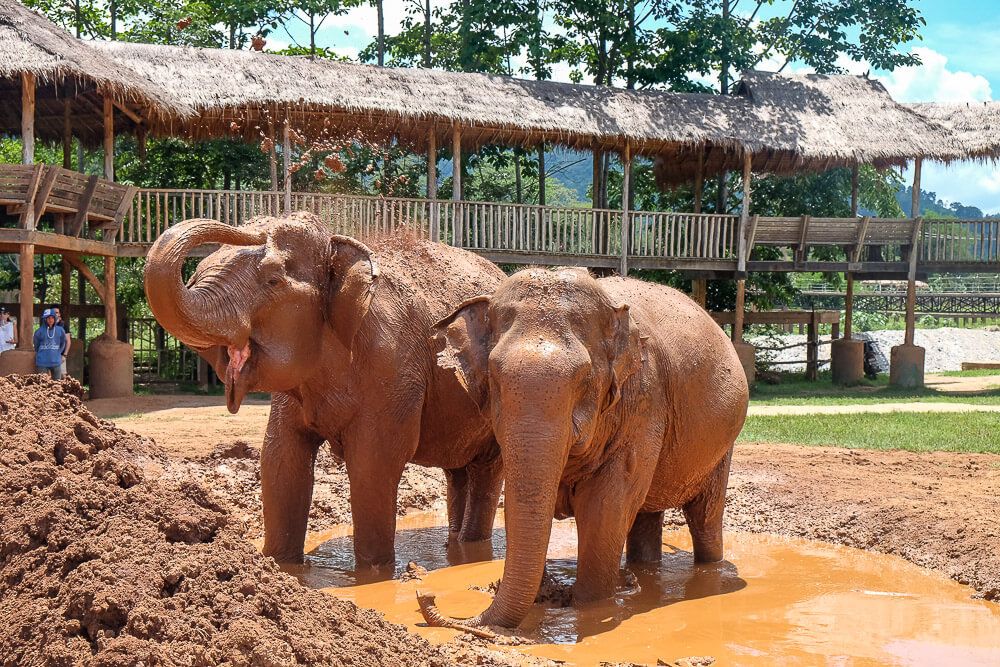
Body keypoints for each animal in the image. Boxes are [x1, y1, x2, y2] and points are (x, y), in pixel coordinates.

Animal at [144, 212, 507, 568]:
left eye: (273, 280)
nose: (248, 228)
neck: (336, 247)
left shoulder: (393, 368)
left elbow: (373, 465)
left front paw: (373, 574)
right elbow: (280, 459)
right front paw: (282, 566)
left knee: (486, 470)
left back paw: (471, 550)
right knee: (458, 472)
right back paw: (454, 546)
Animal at [418, 267, 749, 629]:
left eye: (583, 377)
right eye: (493, 377)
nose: (424, 593)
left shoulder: (642, 401)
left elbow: (605, 506)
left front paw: (590, 608)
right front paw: (545, 601)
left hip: (723, 445)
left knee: (704, 517)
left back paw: (705, 570)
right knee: (646, 515)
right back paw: (642, 575)